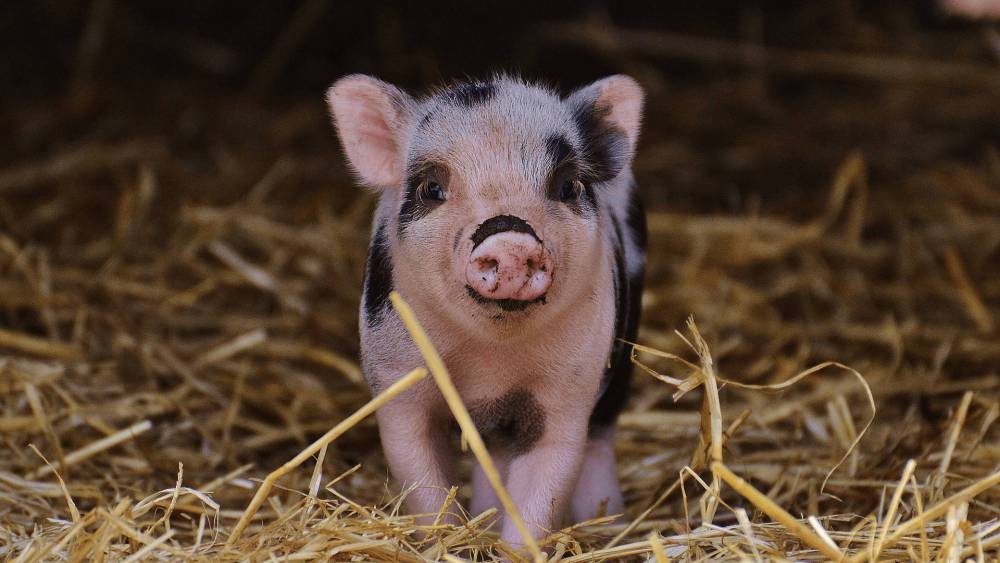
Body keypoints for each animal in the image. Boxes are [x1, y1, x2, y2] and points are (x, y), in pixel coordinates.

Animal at [326, 73, 646, 548]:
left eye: (567, 186)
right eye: (432, 189)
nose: (510, 239)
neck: (490, 364)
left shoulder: (568, 392)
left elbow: (544, 486)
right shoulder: (397, 380)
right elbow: (422, 480)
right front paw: (446, 543)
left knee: (599, 438)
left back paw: (607, 525)